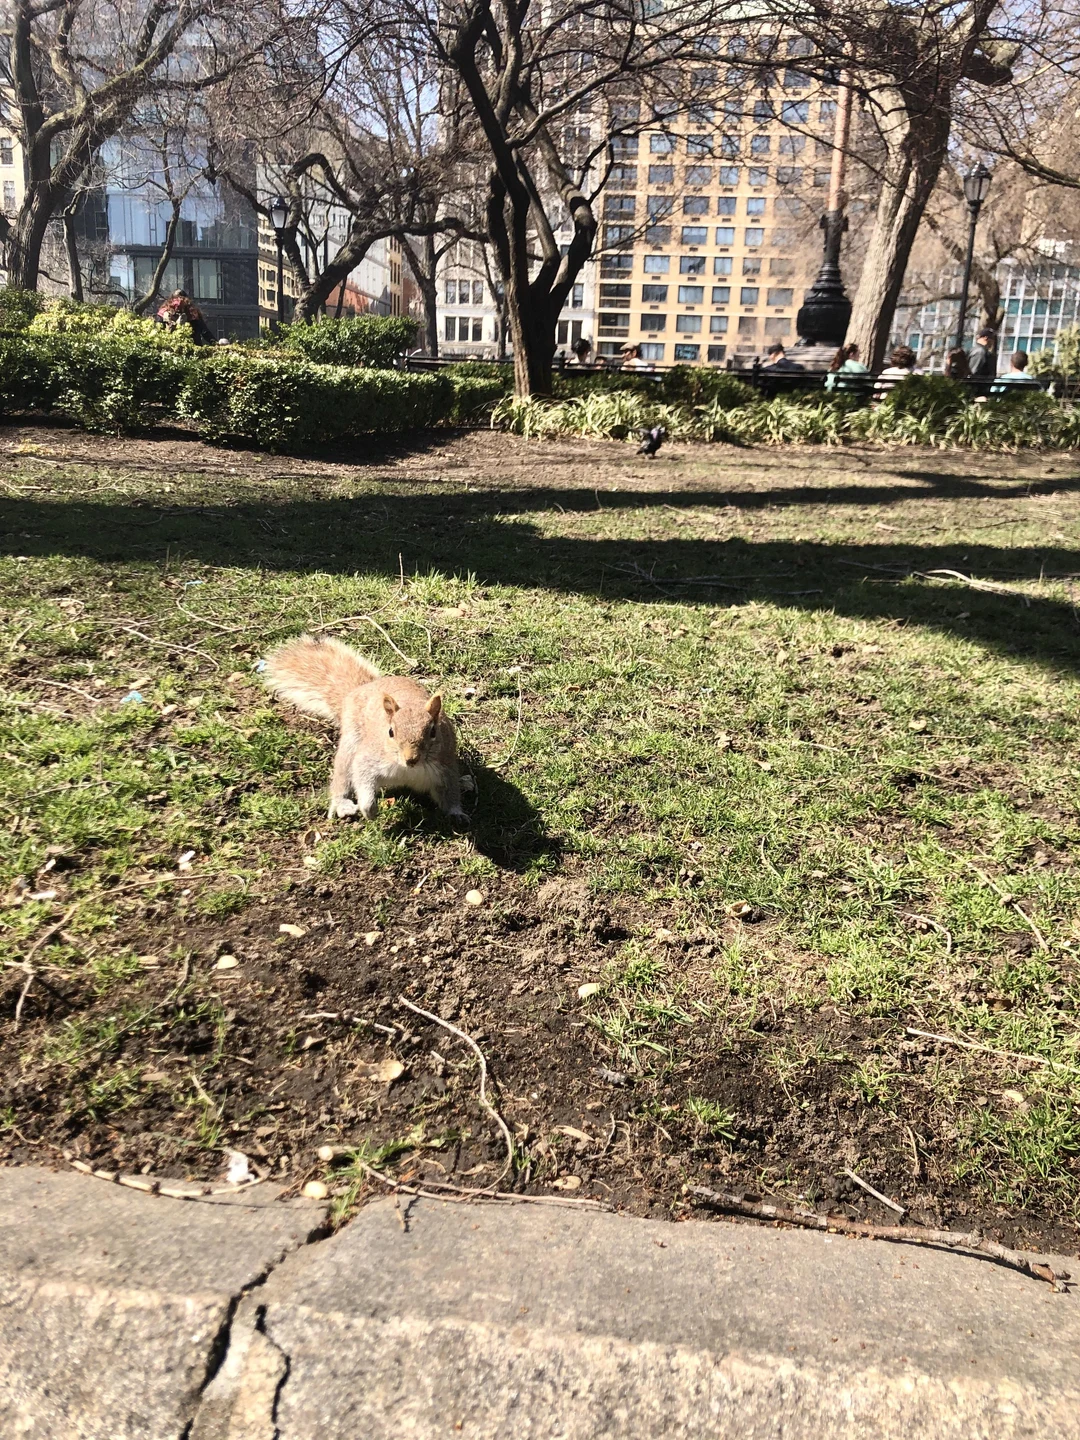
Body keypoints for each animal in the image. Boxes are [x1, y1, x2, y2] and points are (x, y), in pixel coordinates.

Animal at [262, 634, 468, 826]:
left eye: (433, 732)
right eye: (390, 732)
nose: (411, 759)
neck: (407, 771)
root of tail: (359, 689)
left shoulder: (445, 766)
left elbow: (450, 793)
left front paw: (456, 813)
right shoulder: (369, 757)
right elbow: (362, 775)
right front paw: (369, 809)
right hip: (350, 743)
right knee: (342, 777)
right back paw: (343, 804)